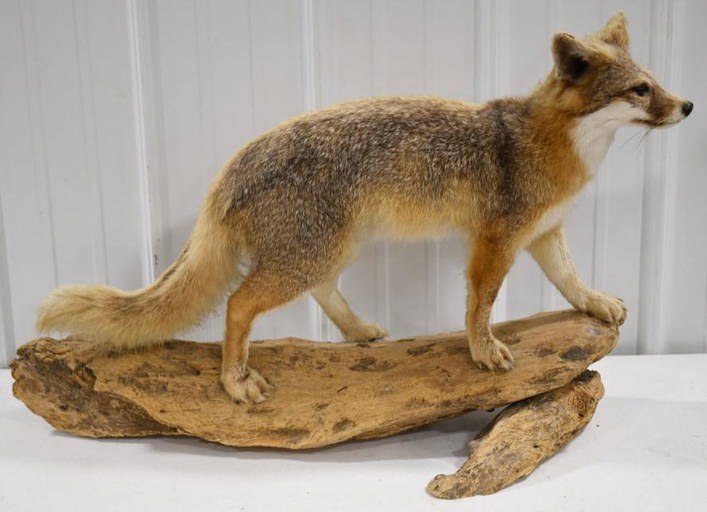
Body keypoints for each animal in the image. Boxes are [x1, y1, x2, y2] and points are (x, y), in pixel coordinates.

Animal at [36, 12, 693, 404]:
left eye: (655, 82)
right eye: (640, 90)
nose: (688, 105)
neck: (552, 143)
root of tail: (234, 166)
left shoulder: (543, 235)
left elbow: (570, 280)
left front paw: (595, 303)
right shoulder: (496, 242)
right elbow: (480, 305)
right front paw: (482, 349)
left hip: (332, 249)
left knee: (322, 291)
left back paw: (357, 333)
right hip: (304, 257)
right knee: (238, 304)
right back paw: (233, 379)